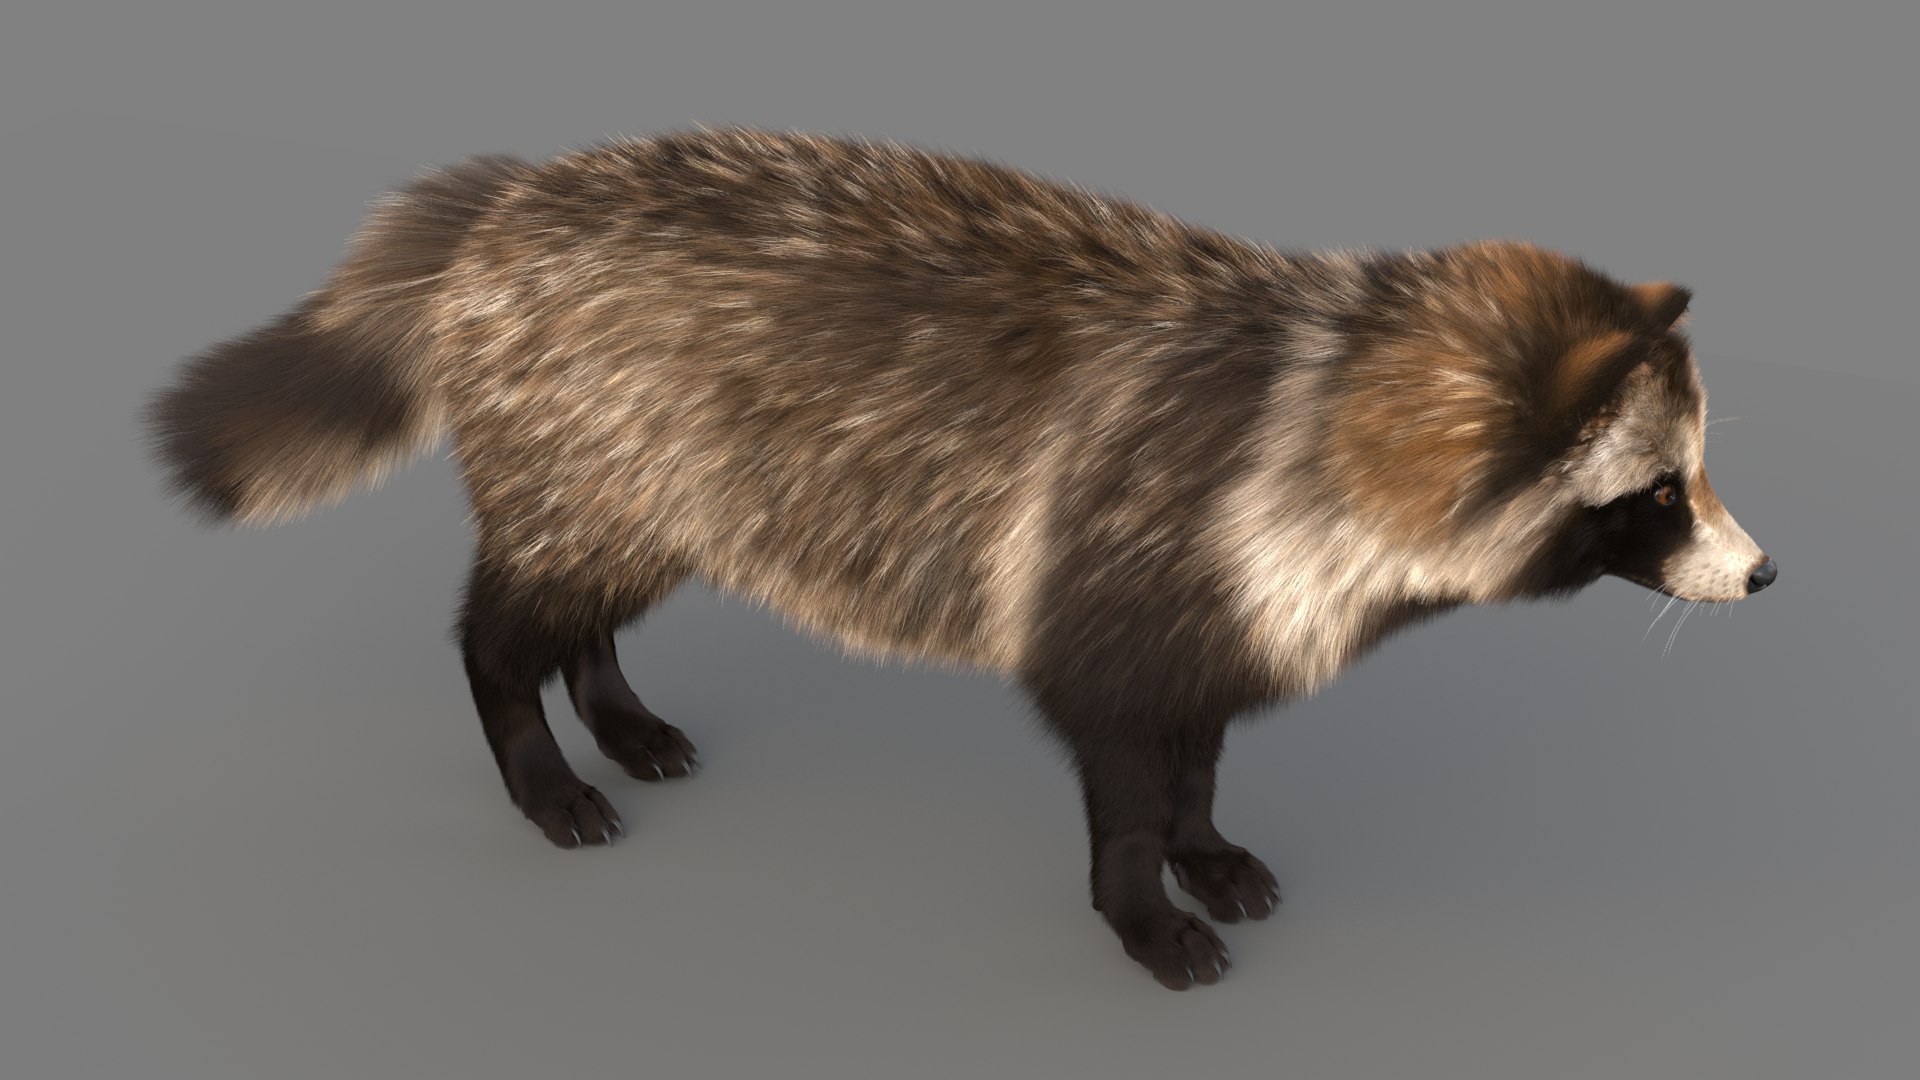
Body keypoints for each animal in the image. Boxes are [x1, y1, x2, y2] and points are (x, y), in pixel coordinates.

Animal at [143, 128, 1775, 989]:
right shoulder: (1122, 559)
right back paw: (541, 761)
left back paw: (616, 709)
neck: (1321, 407)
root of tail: (512, 199)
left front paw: (1207, 844)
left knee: (592, 608)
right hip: (585, 445)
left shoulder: (1220, 589)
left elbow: (1197, 749)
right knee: (505, 626)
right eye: (1656, 492)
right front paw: (1145, 909)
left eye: (1696, 472)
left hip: (647, 479)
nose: (1762, 577)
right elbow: (1122, 771)